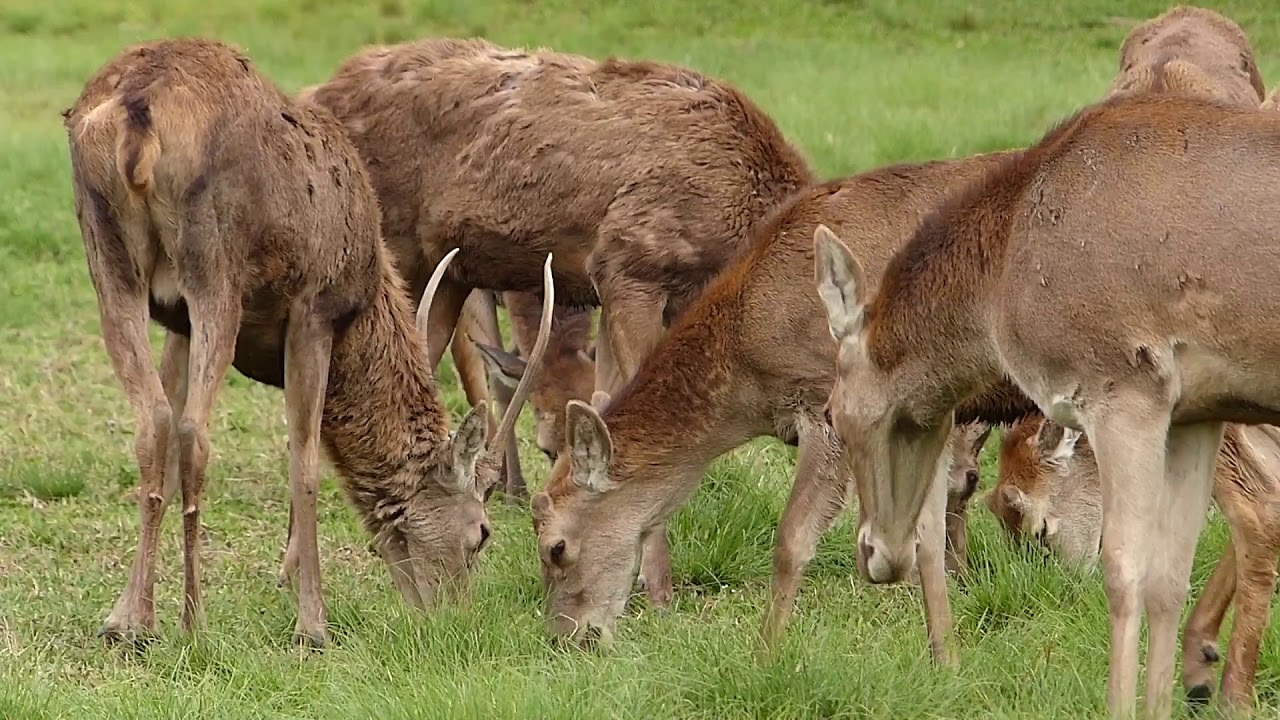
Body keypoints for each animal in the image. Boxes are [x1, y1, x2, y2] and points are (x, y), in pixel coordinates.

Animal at [62, 37, 555, 649]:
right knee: (193, 431)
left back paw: (134, 624)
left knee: (154, 422)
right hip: (214, 264)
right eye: (481, 534)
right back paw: (194, 621)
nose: (455, 617)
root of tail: (138, 113)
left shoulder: (177, 323)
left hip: (108, 258)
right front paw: (312, 623)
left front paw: (129, 615)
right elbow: (306, 464)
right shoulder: (315, 311)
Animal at [529, 152, 1039, 657]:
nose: (565, 637)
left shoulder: (828, 405)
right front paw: (944, 659)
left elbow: (792, 541)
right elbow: (925, 538)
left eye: (556, 547)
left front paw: (766, 656)